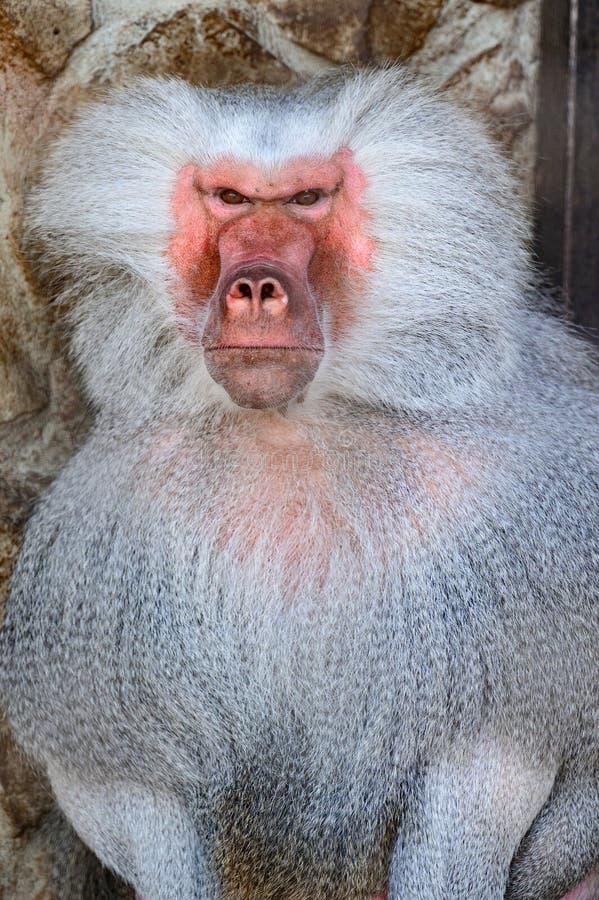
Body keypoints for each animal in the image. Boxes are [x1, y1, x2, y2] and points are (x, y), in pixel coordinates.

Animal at [0, 67, 597, 900]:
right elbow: (118, 785)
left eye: (307, 199)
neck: (294, 427)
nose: (255, 286)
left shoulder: (514, 515)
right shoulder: (121, 531)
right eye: (229, 198)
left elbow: (490, 766)